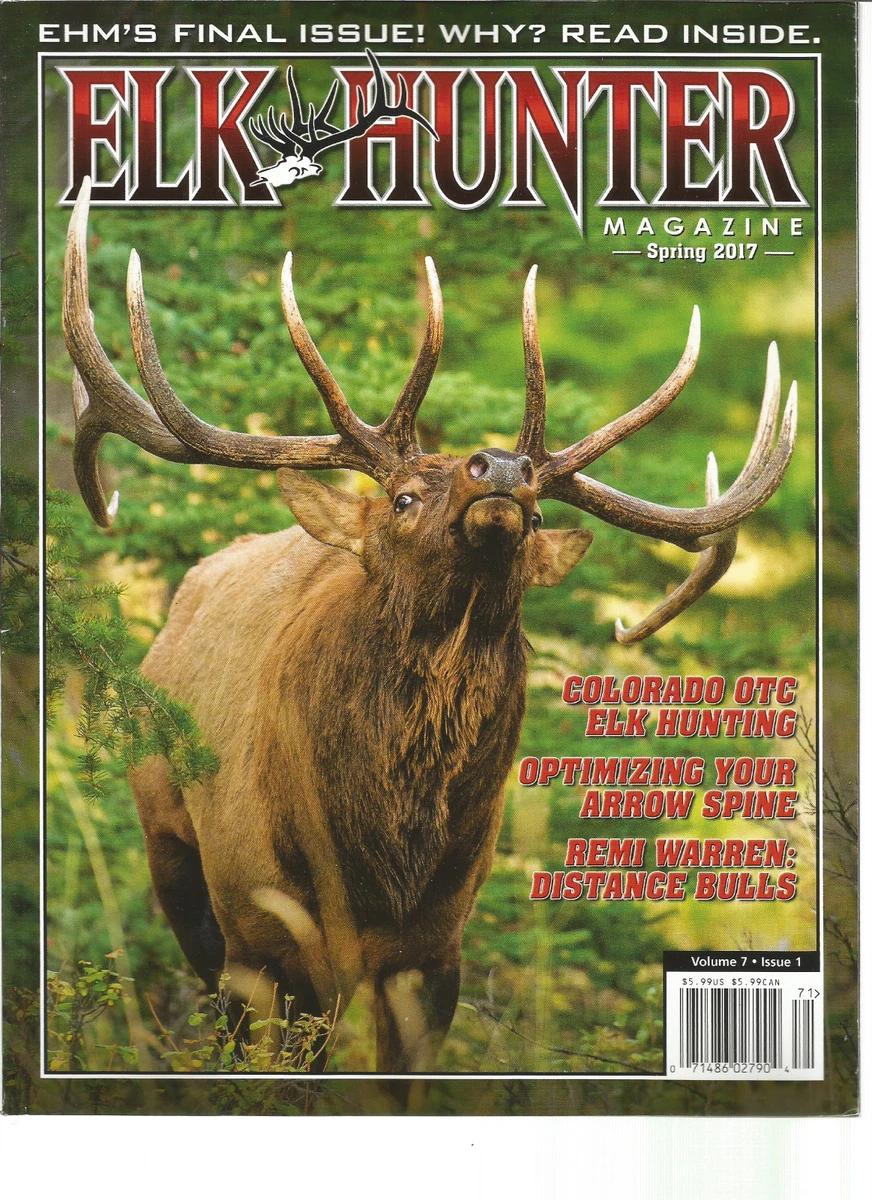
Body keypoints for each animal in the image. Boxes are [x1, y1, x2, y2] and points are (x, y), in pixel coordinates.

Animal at [62, 176, 797, 1075]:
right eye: (406, 496)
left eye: (538, 510)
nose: (504, 467)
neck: (382, 861)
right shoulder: (259, 931)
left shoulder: (436, 949)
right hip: (173, 846)